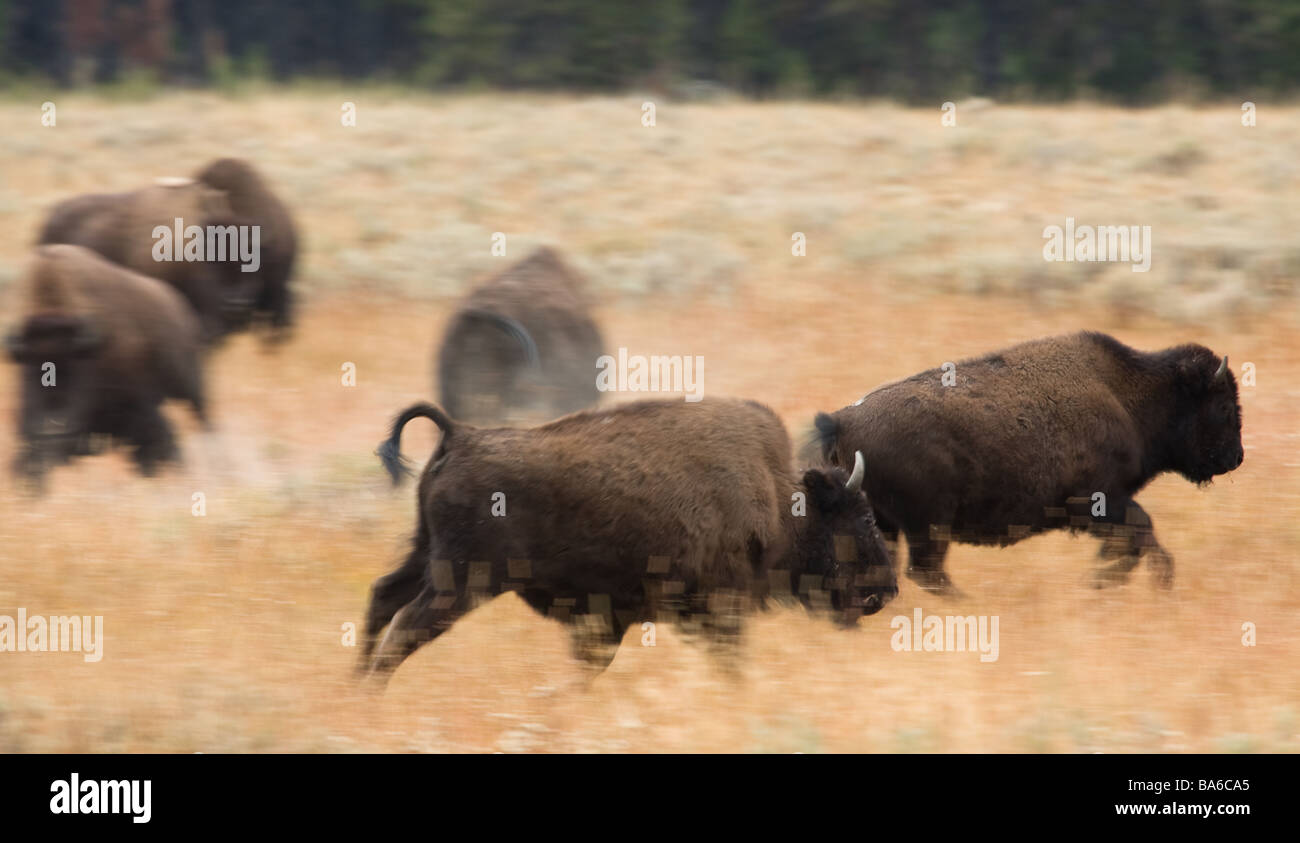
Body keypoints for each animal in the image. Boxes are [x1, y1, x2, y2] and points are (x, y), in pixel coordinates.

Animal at [4, 245, 207, 488]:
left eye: (75, 365)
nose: (54, 427)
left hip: (190, 392)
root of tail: (184, 314)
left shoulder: (136, 406)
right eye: (28, 367)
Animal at [360, 397, 896, 682]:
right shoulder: (722, 608)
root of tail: (460, 435)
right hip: (461, 582)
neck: (781, 500)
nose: (886, 592)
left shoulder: (609, 620)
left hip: (425, 556)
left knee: (383, 598)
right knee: (403, 628)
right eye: (864, 520)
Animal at [813, 331, 1244, 595]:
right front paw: (1109, 583)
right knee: (925, 571)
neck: (1128, 393)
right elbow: (1143, 535)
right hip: (928, 524)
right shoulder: (1102, 504)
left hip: (888, 524)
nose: (1237, 457)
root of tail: (842, 421)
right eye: (1223, 407)